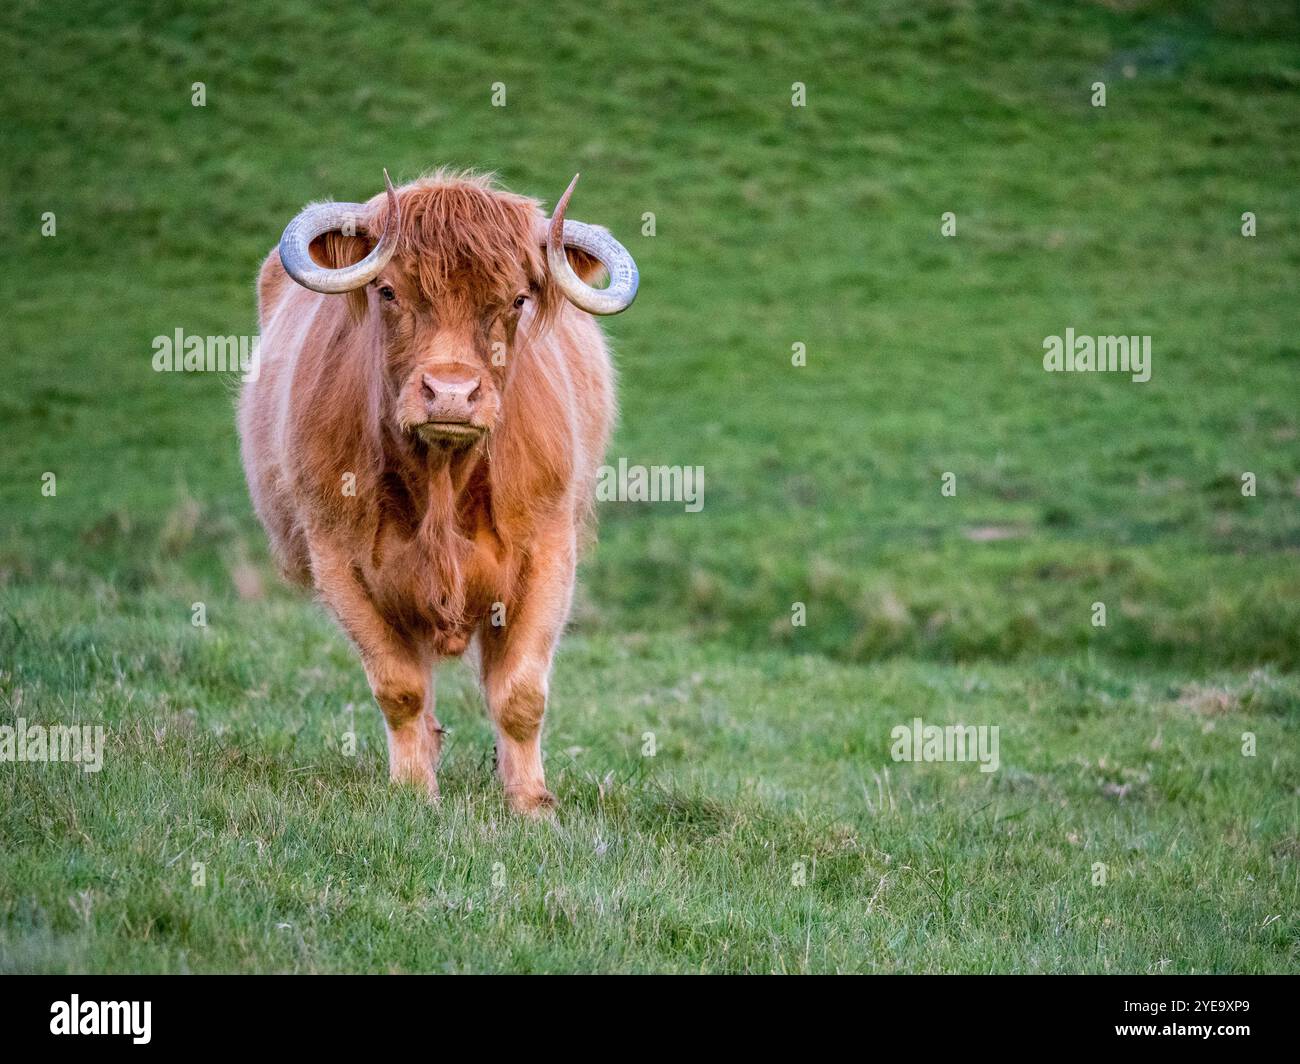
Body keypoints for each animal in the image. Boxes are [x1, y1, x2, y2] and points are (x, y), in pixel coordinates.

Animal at [238, 169, 638, 815]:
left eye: (517, 300)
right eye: (389, 291)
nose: (451, 393)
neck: (442, 483)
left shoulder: (549, 554)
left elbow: (520, 694)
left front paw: (531, 805)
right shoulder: (337, 558)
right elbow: (399, 687)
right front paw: (413, 792)